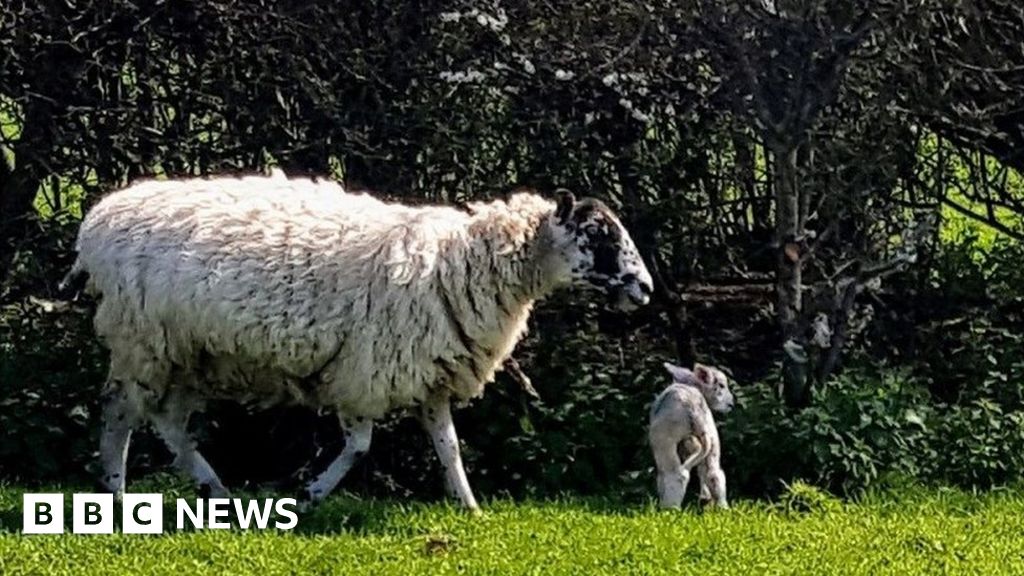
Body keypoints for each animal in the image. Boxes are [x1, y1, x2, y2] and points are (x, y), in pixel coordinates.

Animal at [65, 169, 654, 510]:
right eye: (598, 236)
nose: (646, 289)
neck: (464, 261)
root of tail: (97, 221)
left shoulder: (431, 373)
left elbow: (449, 448)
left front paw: (469, 507)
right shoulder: (365, 370)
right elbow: (362, 445)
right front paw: (310, 495)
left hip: (193, 355)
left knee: (167, 422)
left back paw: (214, 491)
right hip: (144, 343)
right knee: (121, 412)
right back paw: (118, 489)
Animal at [648, 362, 734, 510]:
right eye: (722, 385)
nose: (731, 404)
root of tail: (693, 408)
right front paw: (705, 498)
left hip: (664, 440)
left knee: (675, 474)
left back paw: (670, 509)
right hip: (711, 436)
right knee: (714, 473)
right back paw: (722, 507)